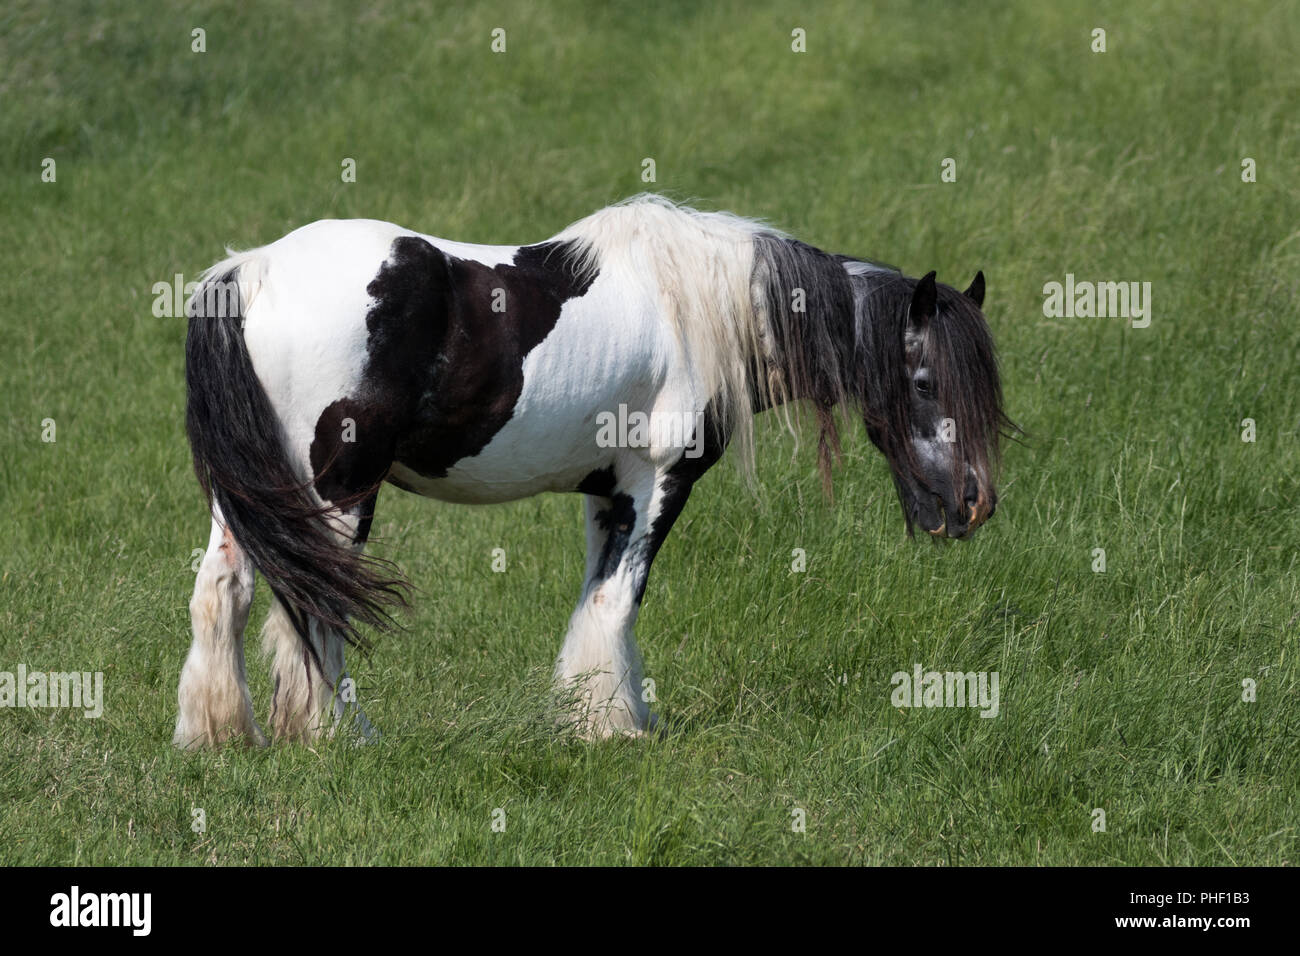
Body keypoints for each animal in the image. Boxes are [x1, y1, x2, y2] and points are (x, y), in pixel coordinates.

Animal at [174, 195, 1008, 748]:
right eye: (925, 382)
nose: (974, 505)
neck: (702, 305)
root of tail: (254, 270)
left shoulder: (606, 496)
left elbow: (594, 602)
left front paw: (590, 715)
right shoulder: (659, 484)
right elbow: (617, 603)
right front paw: (616, 730)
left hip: (250, 499)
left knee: (223, 593)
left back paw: (222, 738)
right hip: (339, 493)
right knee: (313, 607)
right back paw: (338, 737)